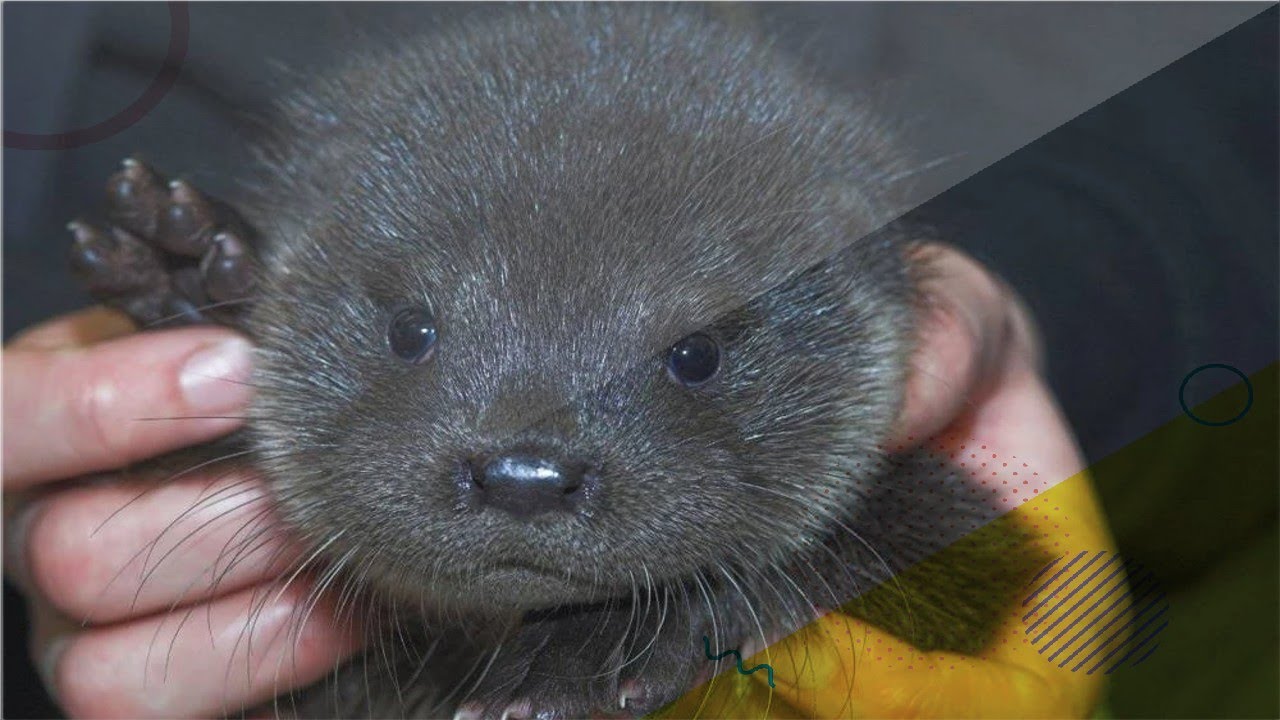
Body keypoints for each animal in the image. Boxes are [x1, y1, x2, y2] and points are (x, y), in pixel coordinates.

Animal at [68, 5, 1044, 717]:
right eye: (411, 329)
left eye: (695, 351)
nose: (524, 475)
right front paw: (192, 273)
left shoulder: (967, 539)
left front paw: (605, 650)